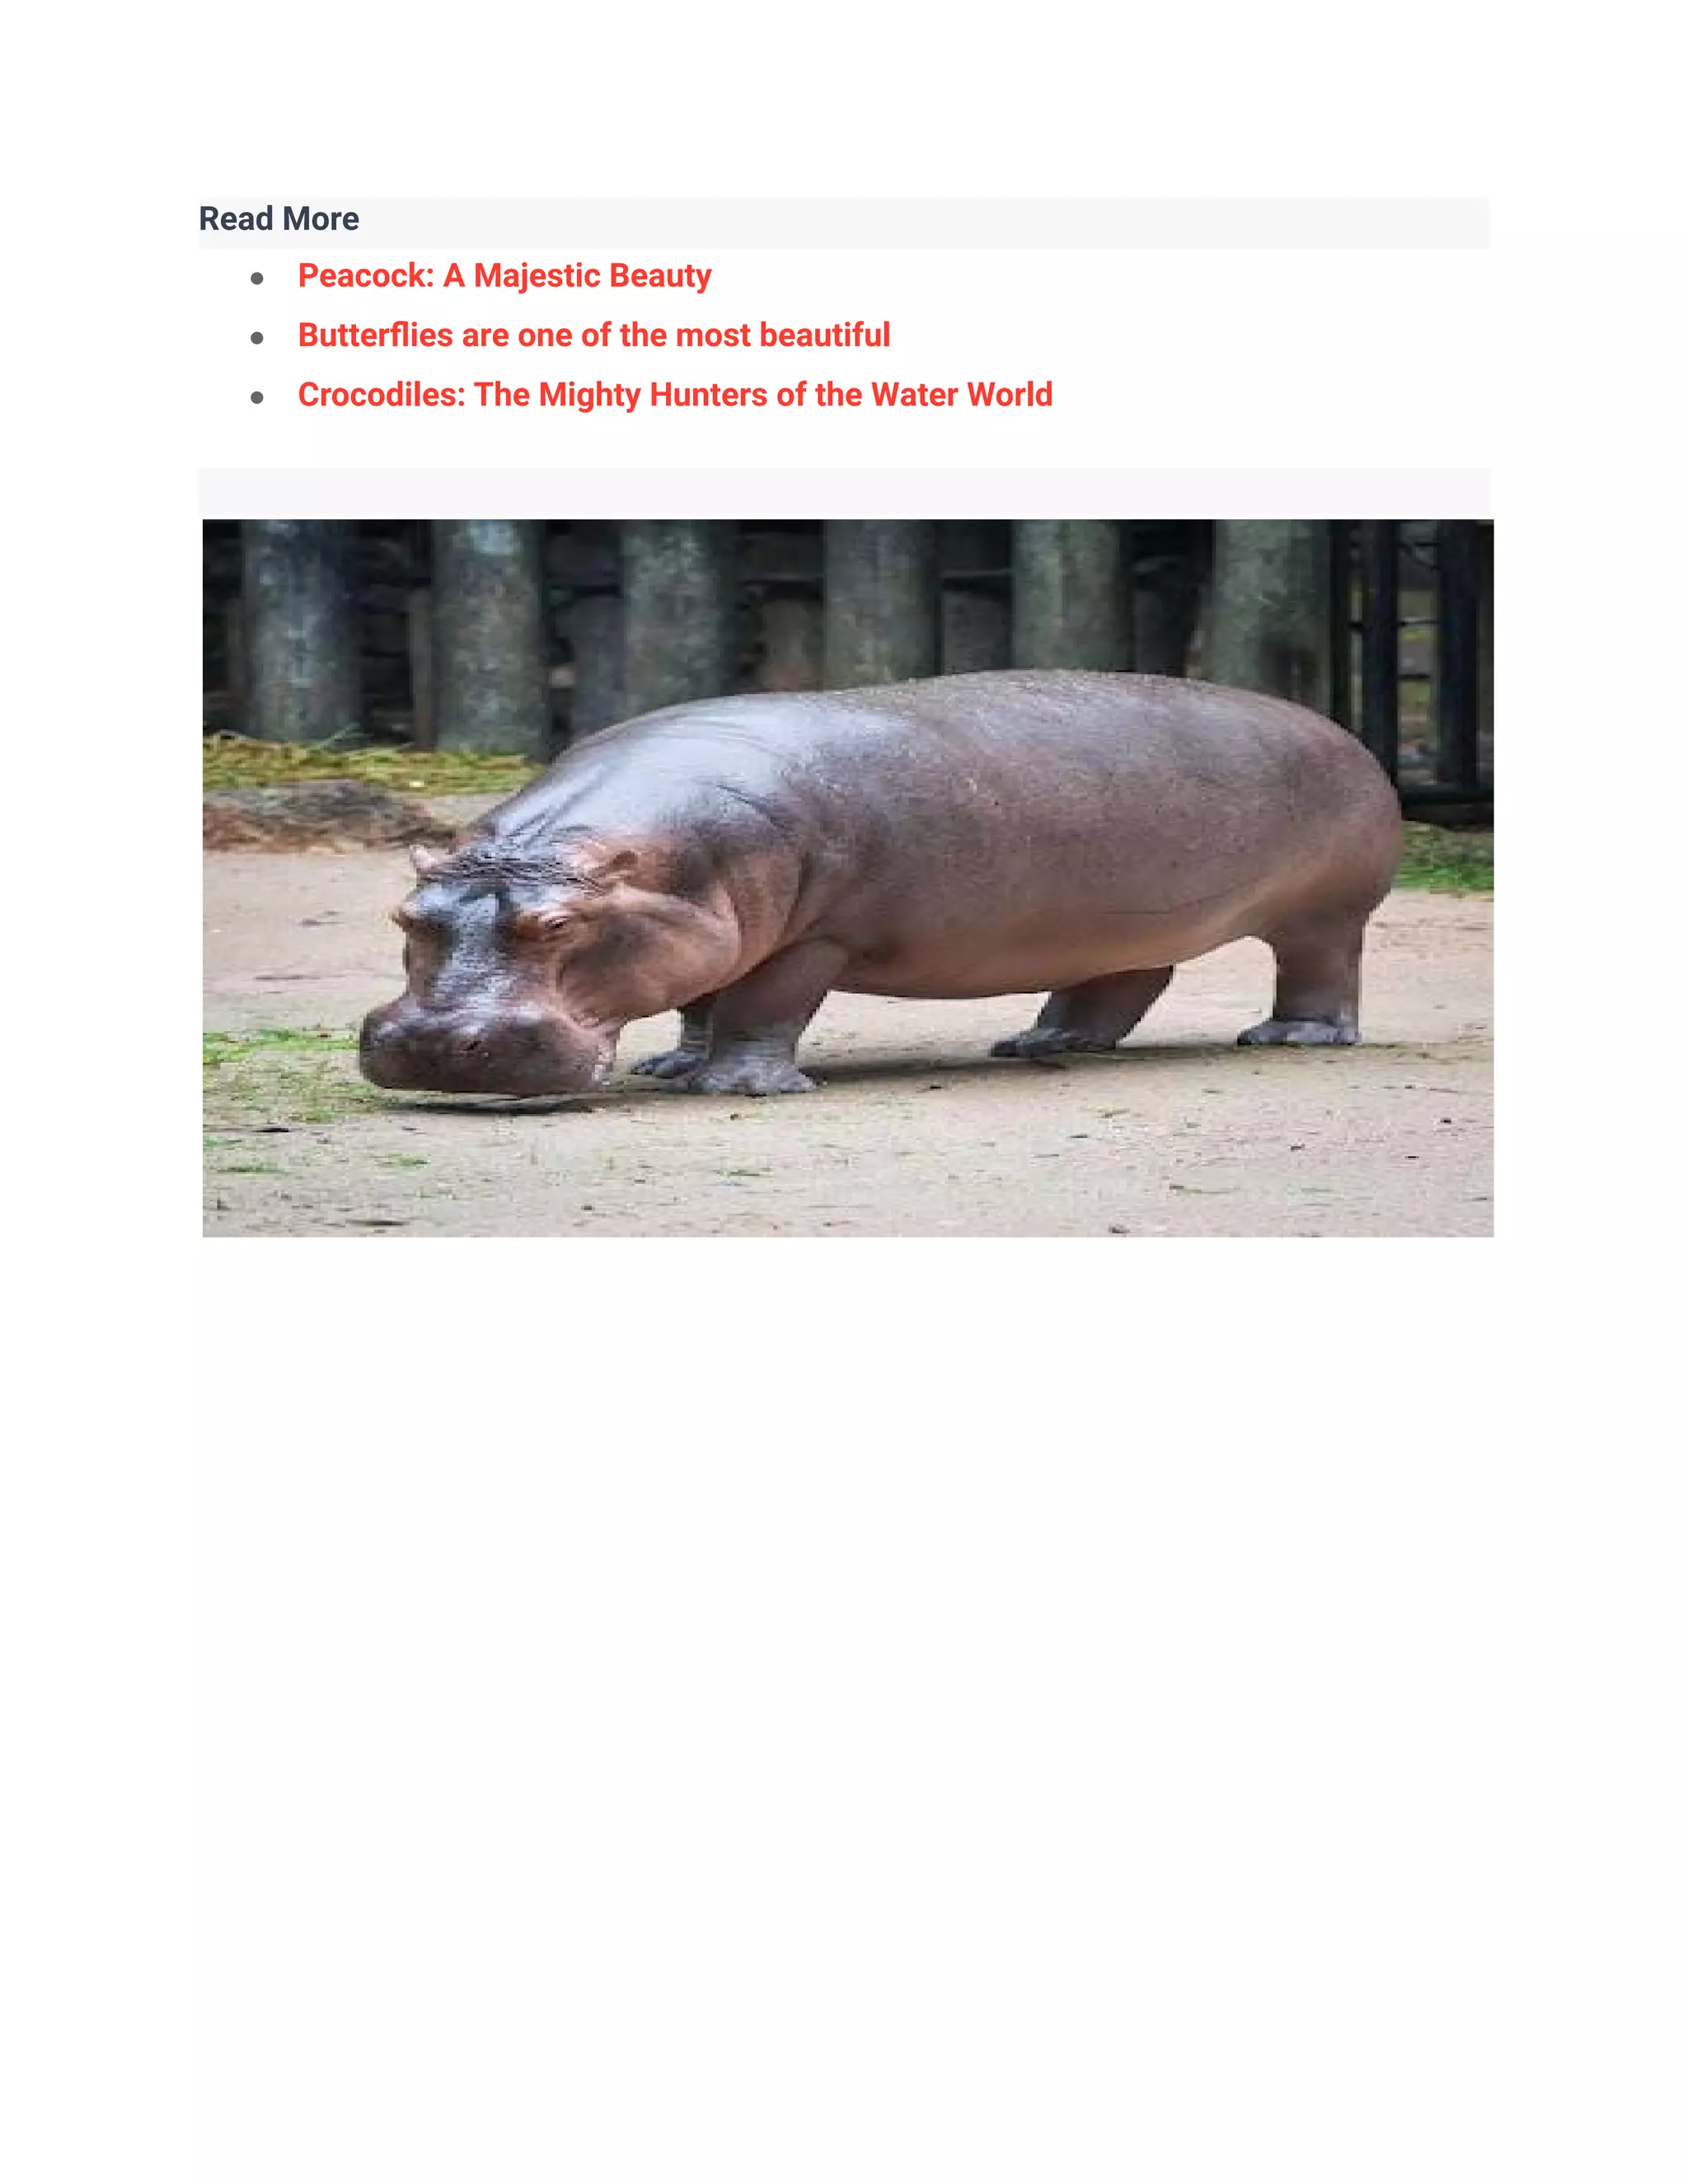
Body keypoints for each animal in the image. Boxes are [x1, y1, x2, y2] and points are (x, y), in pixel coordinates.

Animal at [359, 670, 1402, 1099]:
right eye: (405, 915)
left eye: (558, 925)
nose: (433, 1044)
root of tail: (1335, 725)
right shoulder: (702, 922)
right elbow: (700, 996)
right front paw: (674, 1067)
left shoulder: (810, 938)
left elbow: (758, 1004)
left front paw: (735, 1087)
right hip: (1112, 919)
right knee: (1124, 978)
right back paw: (1037, 1043)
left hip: (1324, 908)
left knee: (1318, 967)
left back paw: (1289, 1036)